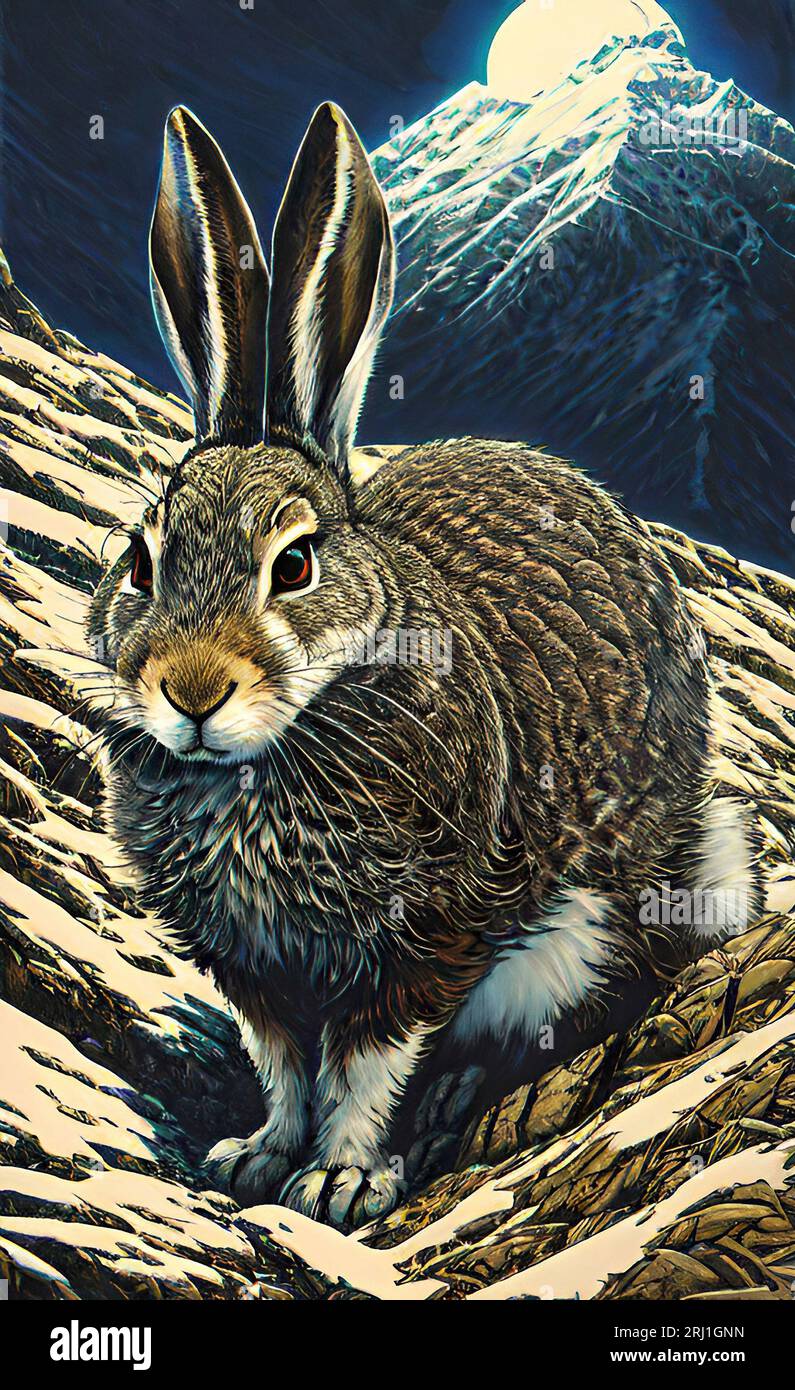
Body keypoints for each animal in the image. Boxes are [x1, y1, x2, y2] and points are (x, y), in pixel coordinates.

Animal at [89, 102, 762, 1230]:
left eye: (296, 563)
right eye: (139, 560)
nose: (191, 691)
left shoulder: (431, 934)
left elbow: (366, 1063)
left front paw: (343, 1179)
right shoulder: (251, 964)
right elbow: (282, 1061)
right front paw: (256, 1157)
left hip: (634, 900)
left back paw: (458, 1091)